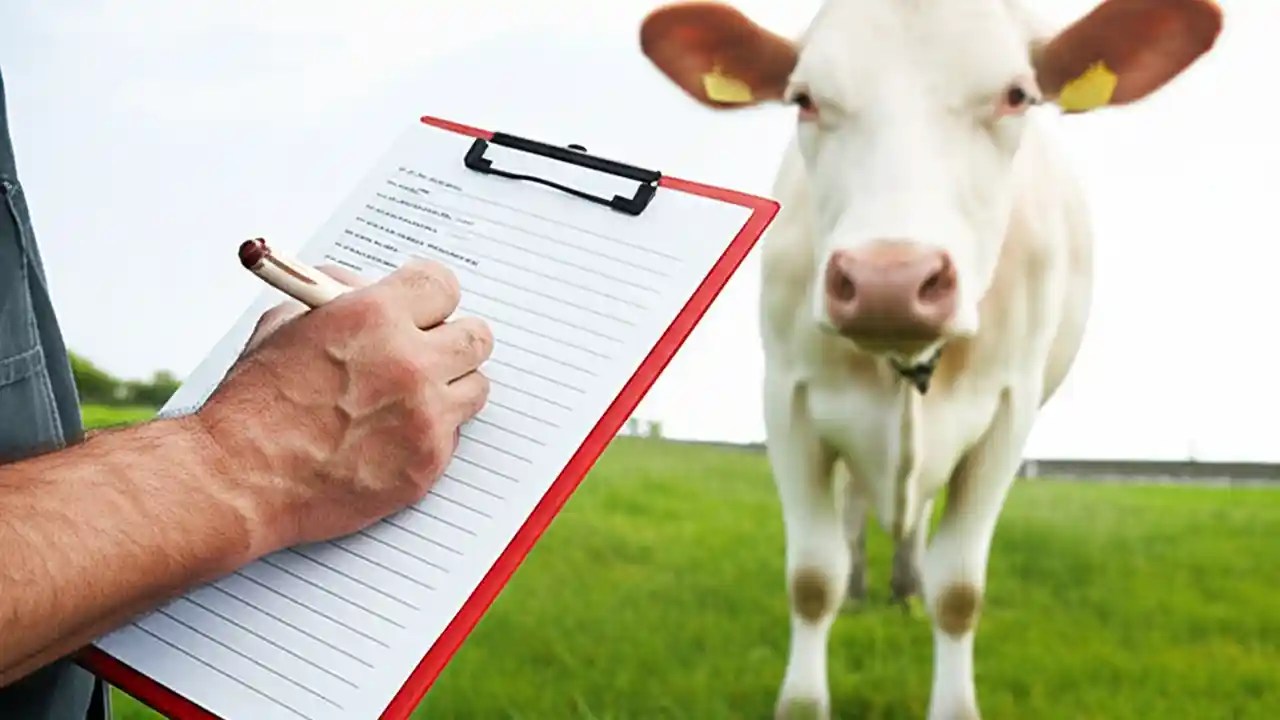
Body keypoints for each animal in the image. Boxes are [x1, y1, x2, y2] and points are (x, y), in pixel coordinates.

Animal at [638, 0, 1222, 717]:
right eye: (805, 99)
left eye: (1017, 95)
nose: (888, 281)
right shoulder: (788, 400)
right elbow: (812, 578)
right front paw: (804, 698)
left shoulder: (1008, 412)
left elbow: (959, 590)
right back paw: (866, 585)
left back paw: (903, 587)